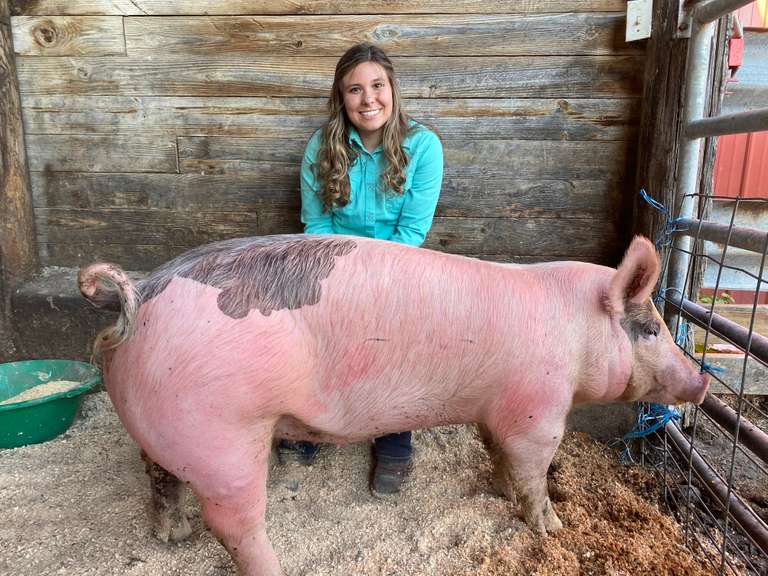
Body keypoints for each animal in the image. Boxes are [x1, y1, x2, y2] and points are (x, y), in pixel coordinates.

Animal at [78, 234, 709, 576]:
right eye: (652, 328)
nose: (702, 383)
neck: (578, 333)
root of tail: (137, 298)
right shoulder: (539, 409)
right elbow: (533, 470)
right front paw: (552, 528)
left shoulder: (497, 409)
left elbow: (499, 454)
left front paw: (501, 491)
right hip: (224, 436)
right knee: (236, 524)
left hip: (169, 431)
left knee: (160, 477)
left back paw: (172, 536)